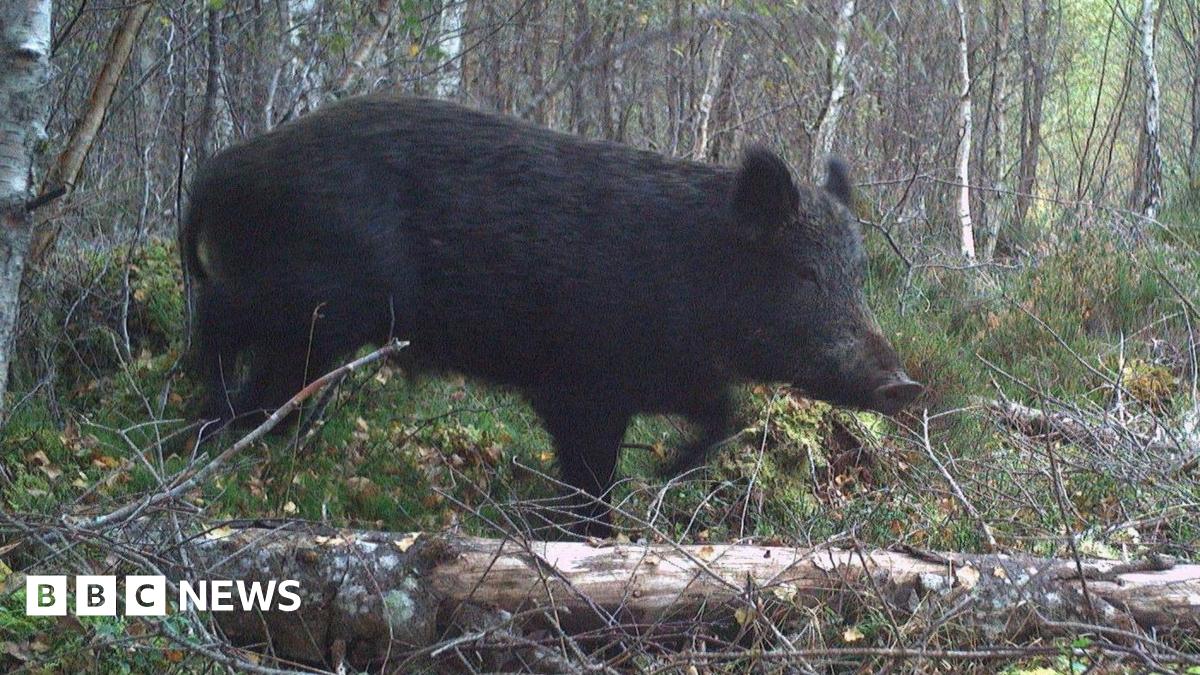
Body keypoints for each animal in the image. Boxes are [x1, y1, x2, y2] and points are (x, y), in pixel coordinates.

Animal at [181, 93, 921, 536]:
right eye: (803, 273)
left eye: (857, 273)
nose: (904, 384)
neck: (692, 269)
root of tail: (222, 167)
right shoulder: (583, 381)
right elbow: (600, 465)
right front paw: (619, 511)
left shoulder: (646, 381)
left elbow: (718, 413)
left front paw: (650, 482)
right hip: (317, 300)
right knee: (218, 313)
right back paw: (210, 417)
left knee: (263, 376)